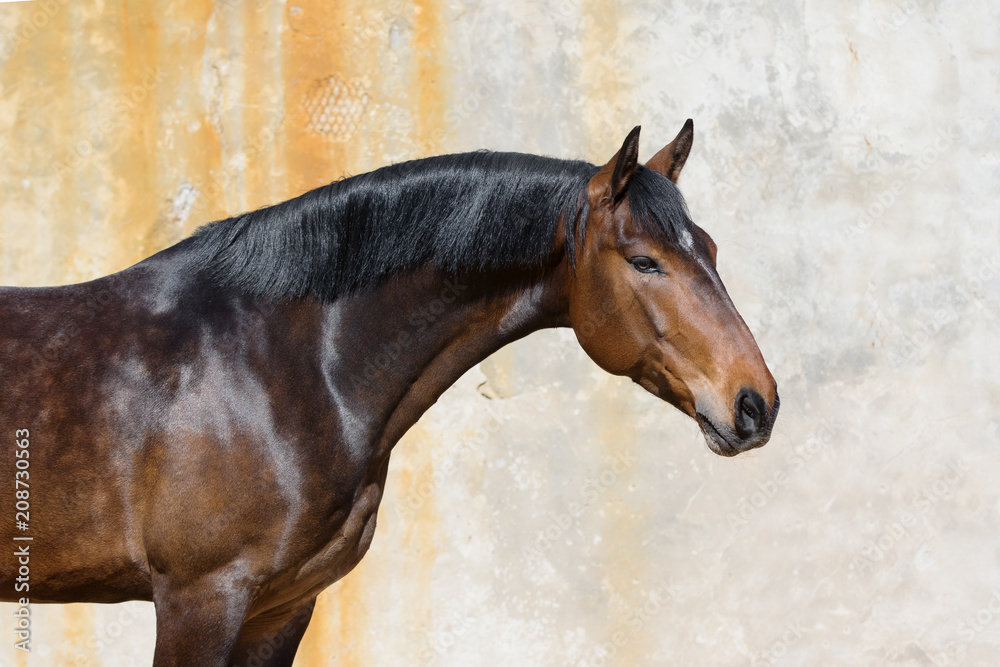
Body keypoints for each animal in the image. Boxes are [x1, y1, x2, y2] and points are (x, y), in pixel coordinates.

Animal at [0, 122, 778, 666]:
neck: (275, 365)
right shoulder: (199, 597)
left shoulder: (279, 608)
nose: (755, 403)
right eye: (644, 261)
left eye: (710, 248)